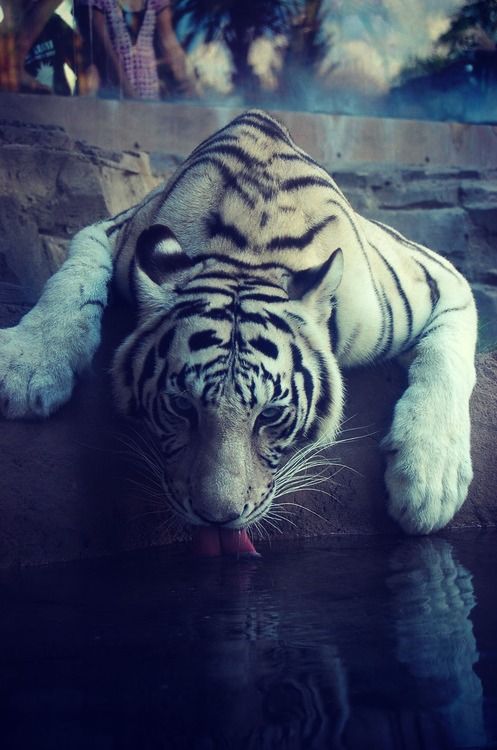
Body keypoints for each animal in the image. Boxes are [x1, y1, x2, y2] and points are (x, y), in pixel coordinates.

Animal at [0, 109, 477, 537]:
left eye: (271, 415)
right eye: (181, 407)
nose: (217, 517)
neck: (249, 252)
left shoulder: (439, 278)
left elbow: (447, 362)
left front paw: (429, 484)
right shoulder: (111, 229)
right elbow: (73, 280)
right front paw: (27, 368)